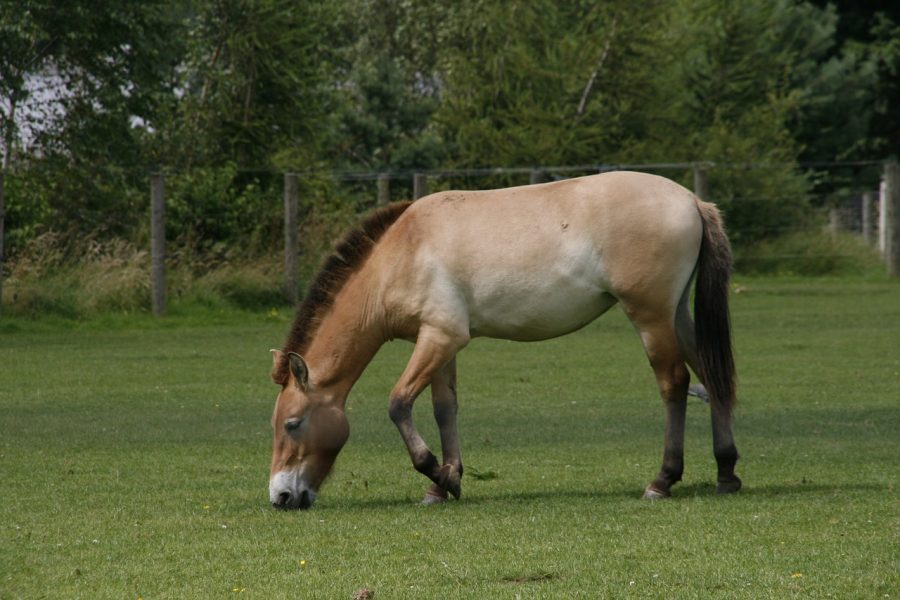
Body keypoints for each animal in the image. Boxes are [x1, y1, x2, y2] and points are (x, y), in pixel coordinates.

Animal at [268, 170, 741, 509]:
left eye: (292, 423)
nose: (281, 496)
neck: (403, 252)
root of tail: (692, 201)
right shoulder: (439, 342)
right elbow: (444, 409)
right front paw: (444, 485)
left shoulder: (441, 338)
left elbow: (399, 403)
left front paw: (437, 473)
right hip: (676, 316)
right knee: (711, 376)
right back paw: (726, 472)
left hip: (651, 317)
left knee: (675, 384)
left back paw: (663, 480)